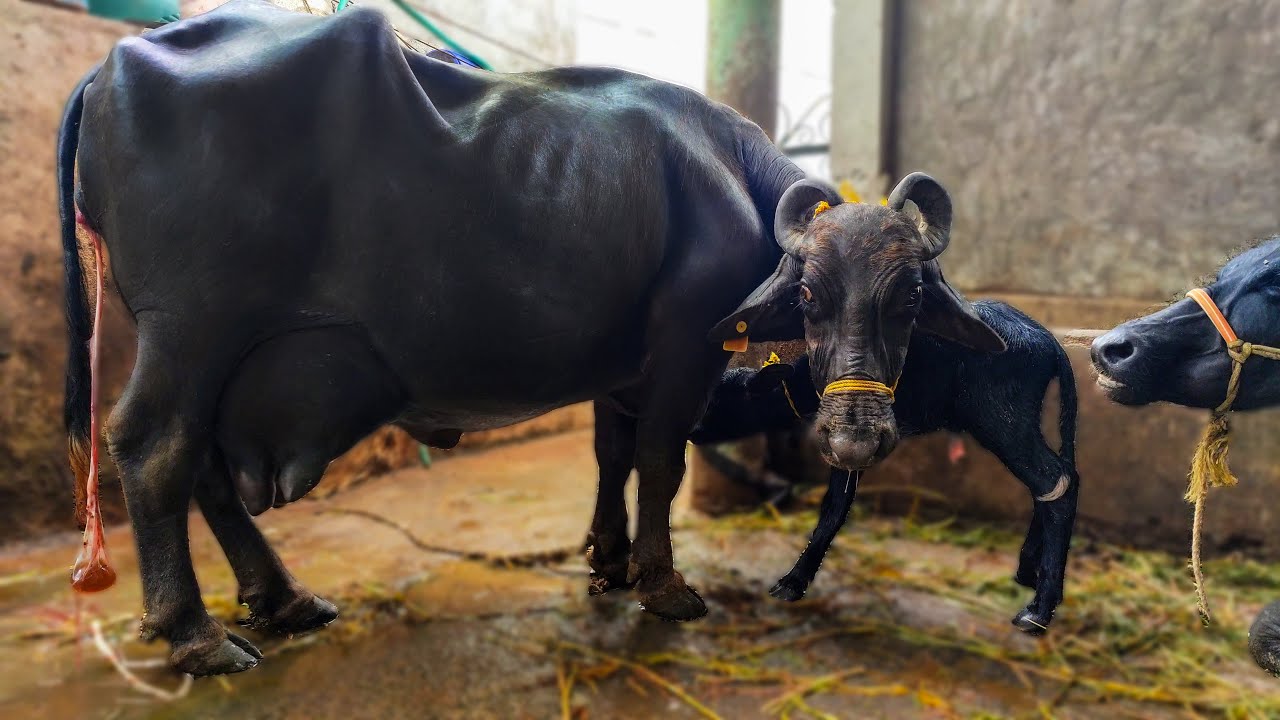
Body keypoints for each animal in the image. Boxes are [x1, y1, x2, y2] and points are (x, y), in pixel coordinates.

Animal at [57, 0, 1004, 676]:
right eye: (808, 296)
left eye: (910, 300)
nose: (856, 437)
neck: (725, 176)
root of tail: (117, 63)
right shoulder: (683, 349)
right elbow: (660, 461)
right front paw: (662, 581)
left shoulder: (623, 364)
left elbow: (611, 455)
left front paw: (609, 559)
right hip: (192, 334)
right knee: (154, 450)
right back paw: (194, 632)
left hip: (197, 350)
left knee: (205, 469)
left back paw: (281, 599)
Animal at [691, 291, 1079, 634]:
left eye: (716, 403)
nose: (689, 431)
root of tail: (1050, 343)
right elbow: (838, 502)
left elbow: (833, 506)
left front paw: (792, 581)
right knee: (1057, 481)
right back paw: (1027, 571)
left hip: (1003, 419)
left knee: (1056, 483)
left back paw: (1039, 609)